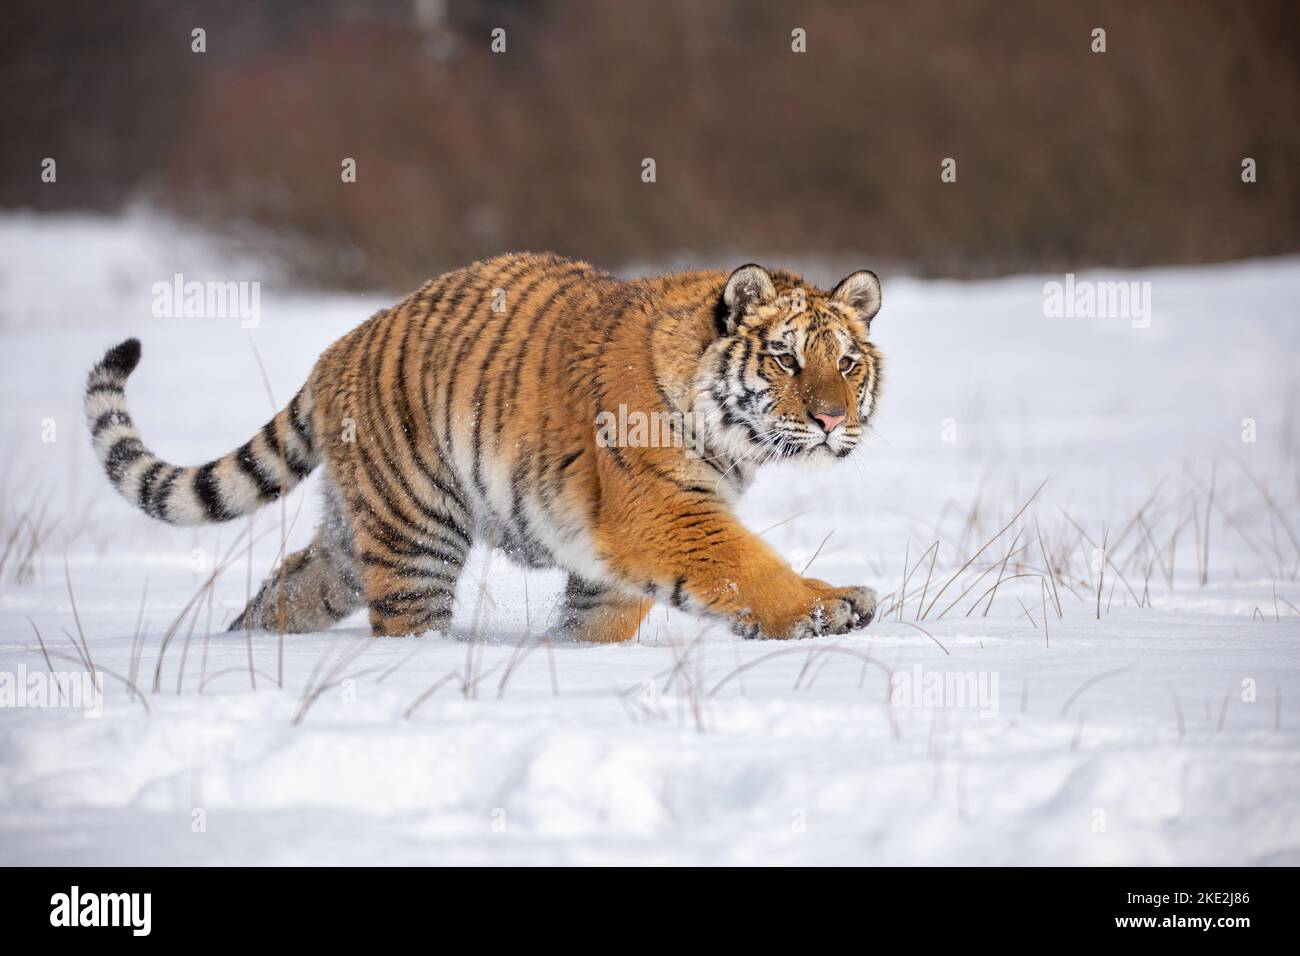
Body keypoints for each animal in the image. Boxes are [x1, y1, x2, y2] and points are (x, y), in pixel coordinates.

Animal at [84, 254, 884, 642]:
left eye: (846, 363)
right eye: (786, 359)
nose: (828, 420)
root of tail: (339, 349)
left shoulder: (608, 557)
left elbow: (599, 624)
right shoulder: (661, 510)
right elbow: (746, 566)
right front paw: (823, 610)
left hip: (350, 535)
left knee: (290, 588)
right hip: (416, 530)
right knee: (404, 618)